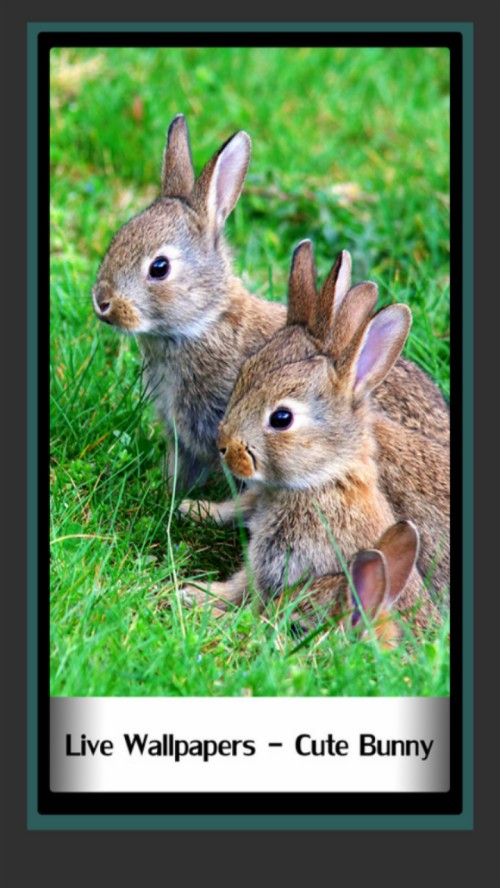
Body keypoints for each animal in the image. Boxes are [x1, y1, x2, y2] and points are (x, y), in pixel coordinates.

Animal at [181, 241, 439, 631]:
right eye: (246, 372)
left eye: (281, 418)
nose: (223, 446)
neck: (322, 481)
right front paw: (193, 514)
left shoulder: (286, 562)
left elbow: (248, 600)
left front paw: (196, 599)